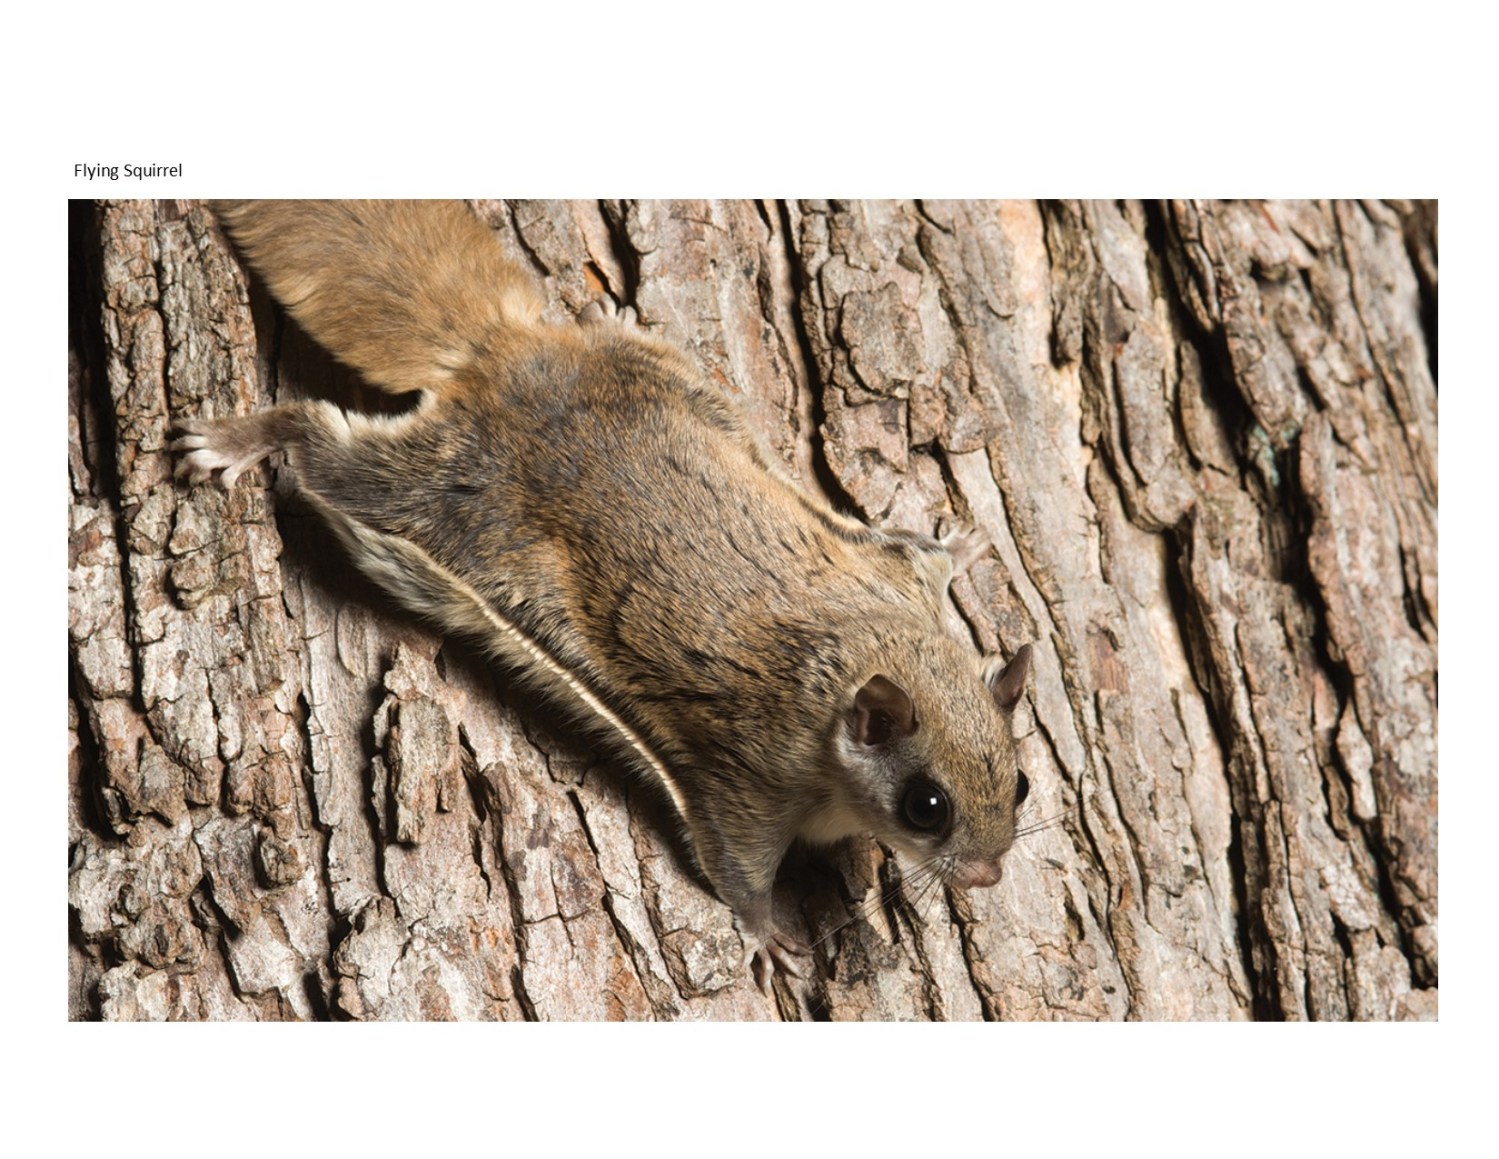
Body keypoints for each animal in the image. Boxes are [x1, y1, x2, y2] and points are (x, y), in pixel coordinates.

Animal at [174, 200, 1033, 991]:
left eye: (1020, 782)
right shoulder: (749, 775)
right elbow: (735, 864)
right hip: (437, 497)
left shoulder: (892, 578)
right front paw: (766, 934)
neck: (859, 654)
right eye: (926, 806)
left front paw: (960, 549)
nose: (987, 874)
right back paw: (245, 439)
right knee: (321, 444)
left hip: (663, 377)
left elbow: (917, 554)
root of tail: (500, 355)